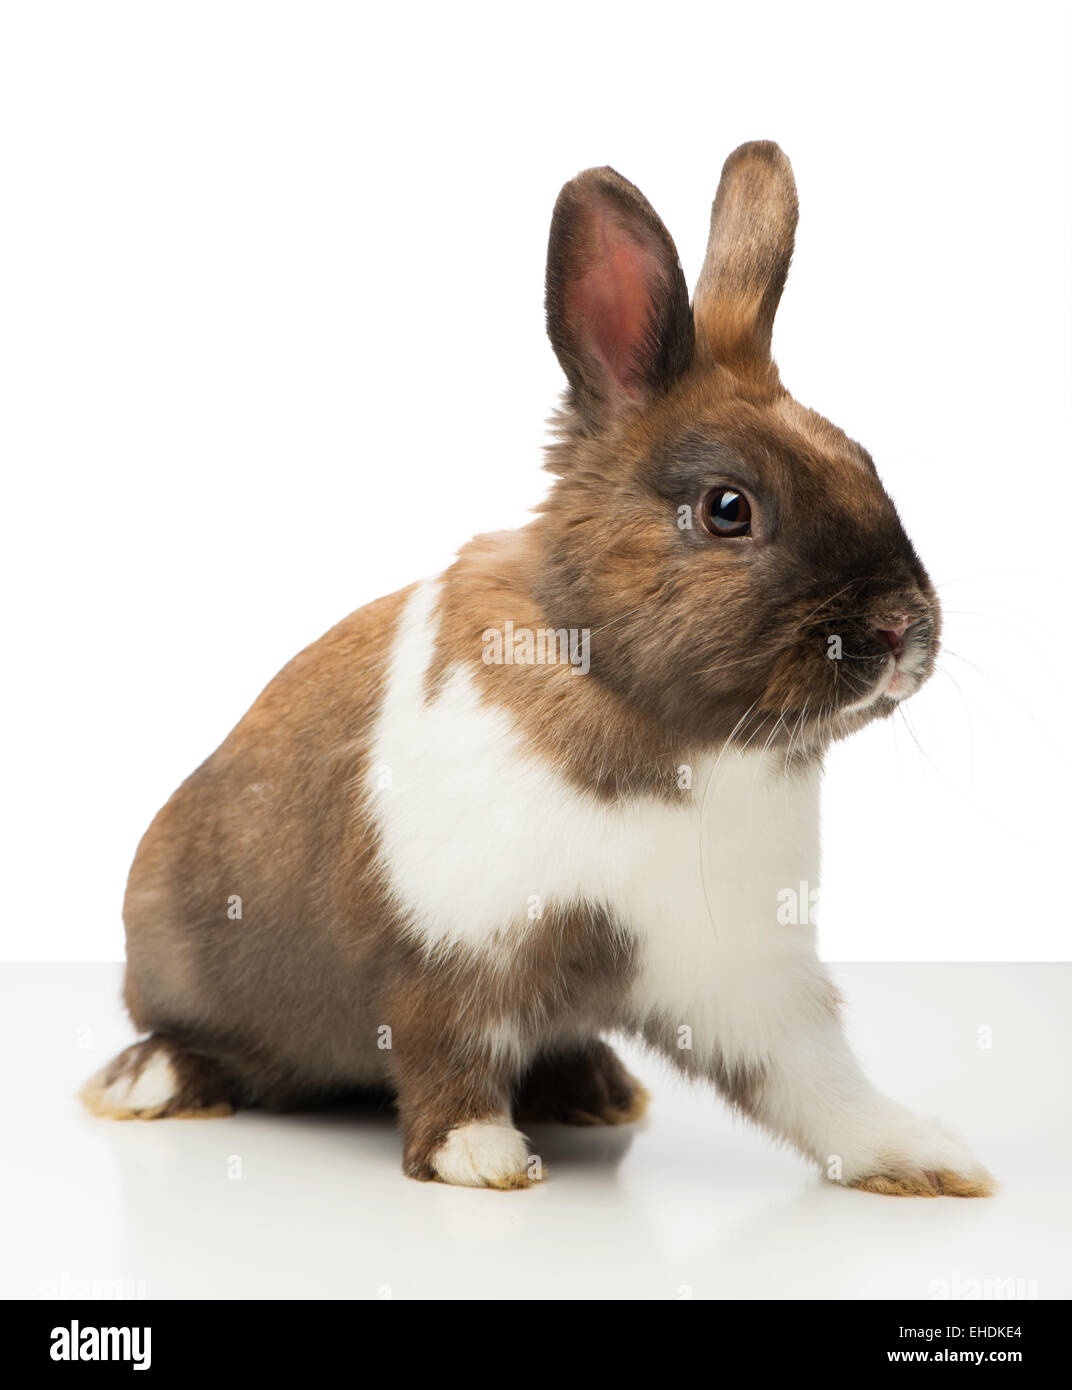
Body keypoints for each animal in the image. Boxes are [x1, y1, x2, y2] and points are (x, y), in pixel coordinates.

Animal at [82, 140, 993, 1196]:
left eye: (865, 462)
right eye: (729, 508)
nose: (899, 626)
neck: (667, 729)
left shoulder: (744, 973)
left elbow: (816, 1082)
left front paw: (925, 1155)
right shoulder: (455, 947)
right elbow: (447, 1047)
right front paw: (481, 1157)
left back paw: (595, 1088)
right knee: (190, 1034)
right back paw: (147, 1080)